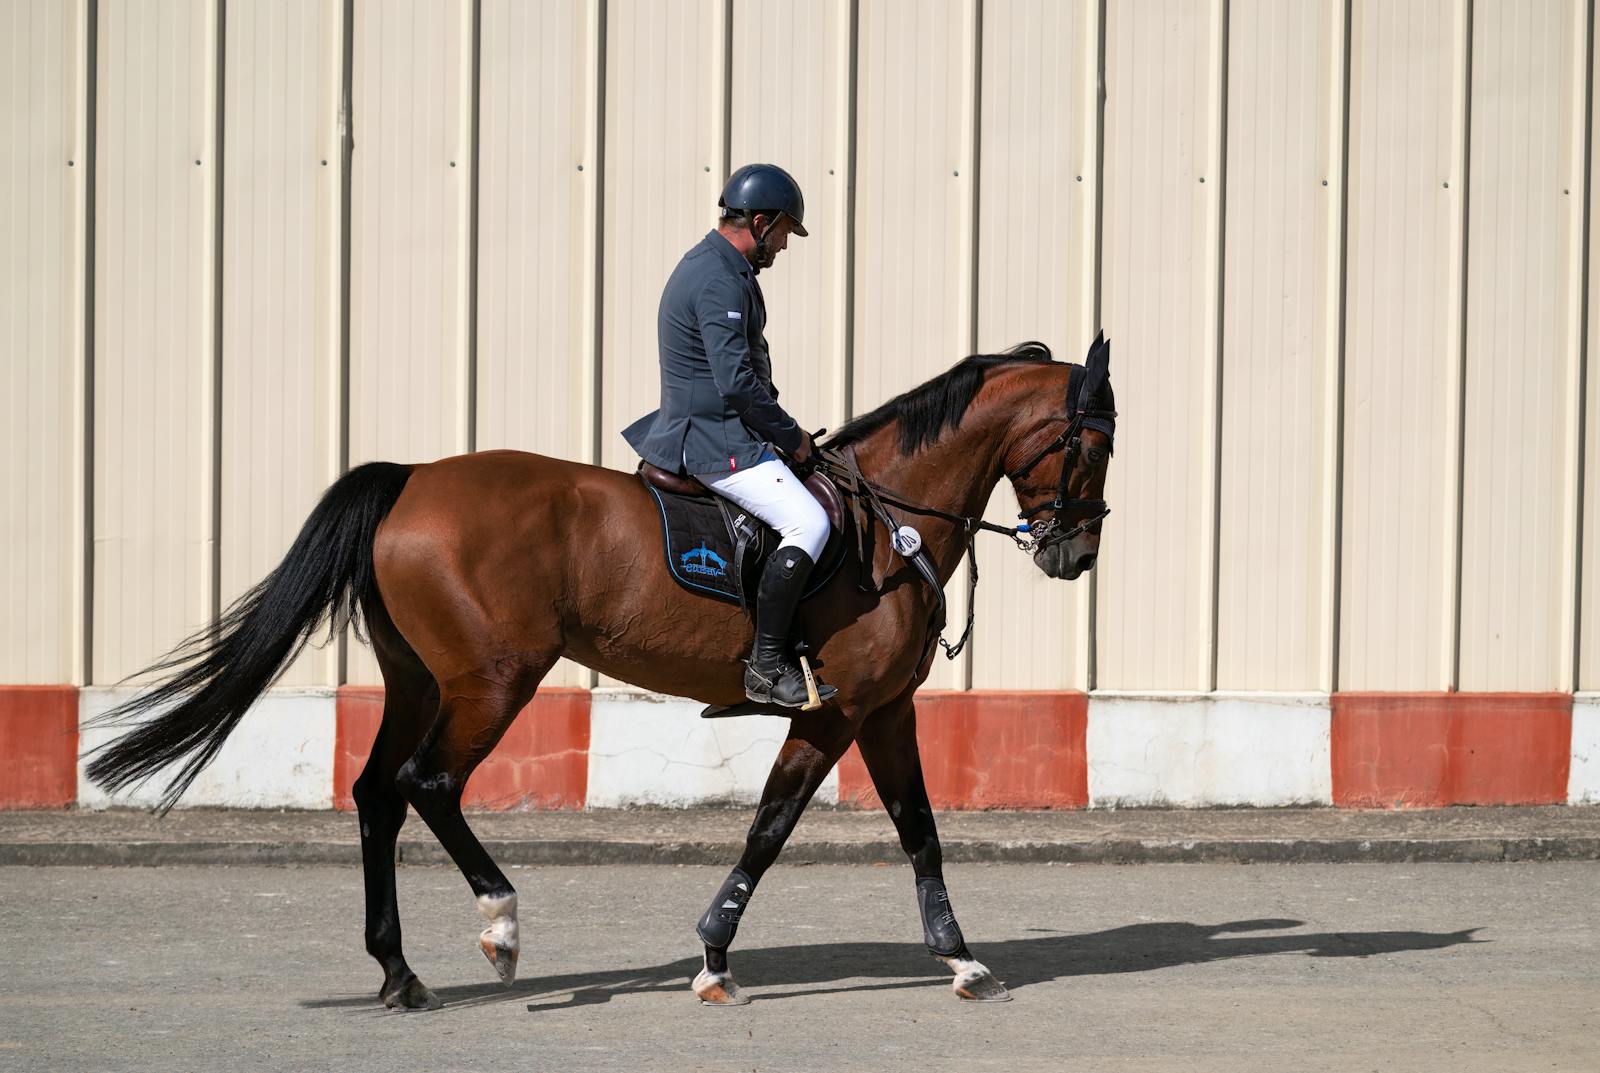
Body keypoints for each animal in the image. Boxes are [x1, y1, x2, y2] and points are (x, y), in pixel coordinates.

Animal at [85, 334, 1117, 1009]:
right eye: (1094, 442)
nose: (1075, 555)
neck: (886, 521)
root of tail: (413, 476)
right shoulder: (836, 711)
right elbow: (770, 828)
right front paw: (713, 960)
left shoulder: (885, 708)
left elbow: (920, 833)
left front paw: (962, 960)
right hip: (492, 681)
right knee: (429, 783)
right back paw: (499, 928)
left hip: (421, 679)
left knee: (378, 792)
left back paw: (402, 974)